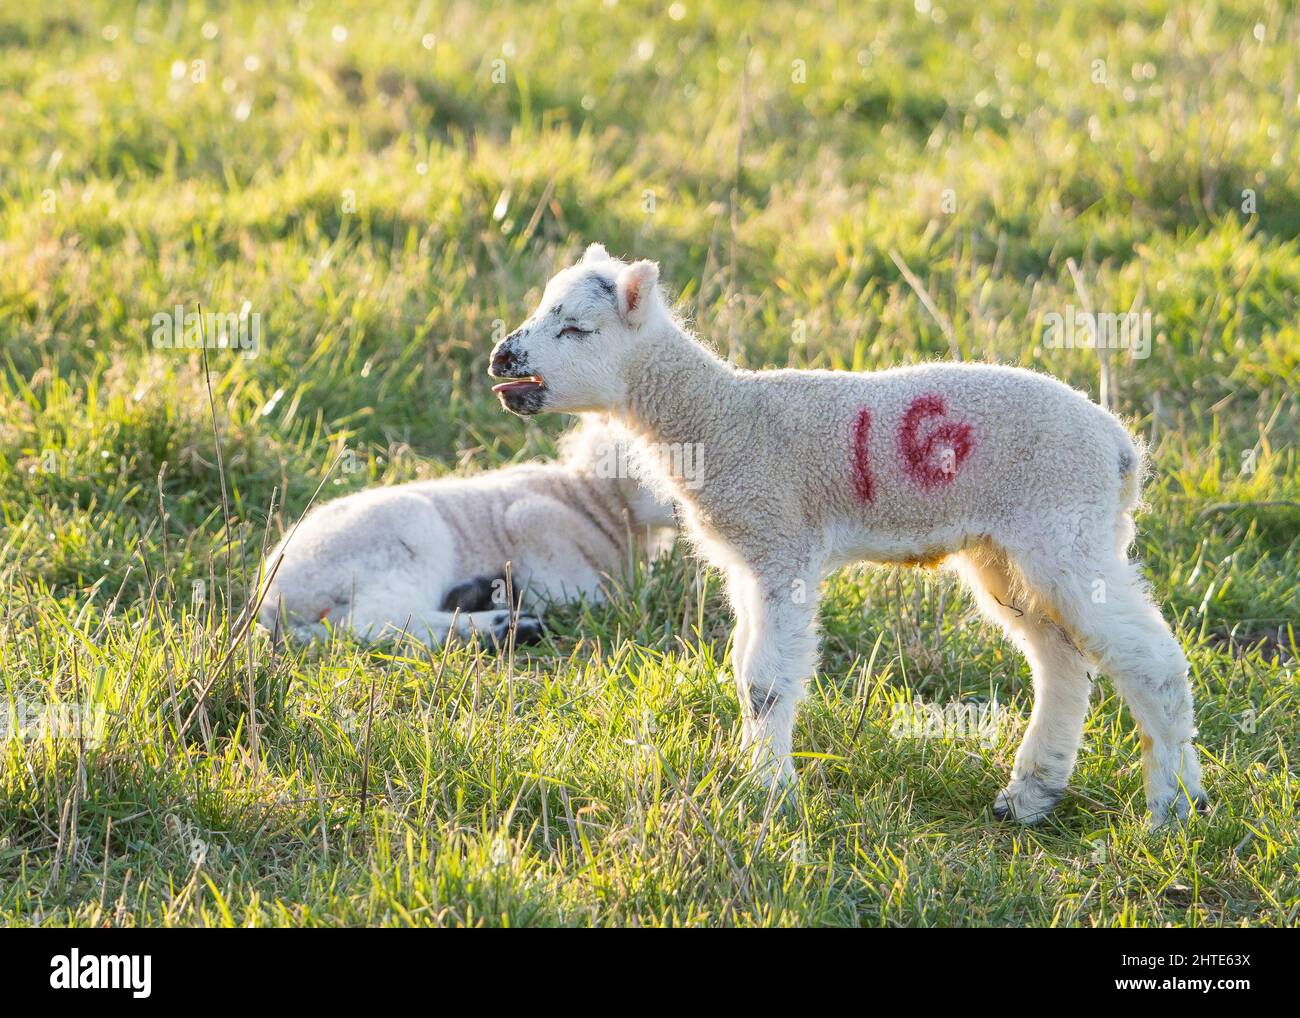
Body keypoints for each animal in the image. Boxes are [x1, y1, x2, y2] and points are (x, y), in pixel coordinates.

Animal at [257, 414, 675, 650]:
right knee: (376, 621)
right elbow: (600, 600)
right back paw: (505, 626)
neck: (589, 500)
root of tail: (273, 601)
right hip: (409, 537)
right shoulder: (545, 546)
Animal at [486, 243, 1205, 829]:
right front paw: (751, 774)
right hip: (1007, 548)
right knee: (1061, 661)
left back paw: (1174, 810)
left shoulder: (781, 540)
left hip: (1065, 526)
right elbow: (742, 669)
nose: (501, 357)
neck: (722, 418)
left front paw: (770, 797)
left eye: (576, 328)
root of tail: (1121, 451)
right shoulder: (749, 559)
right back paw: (1030, 797)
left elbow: (767, 681)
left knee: (1151, 661)